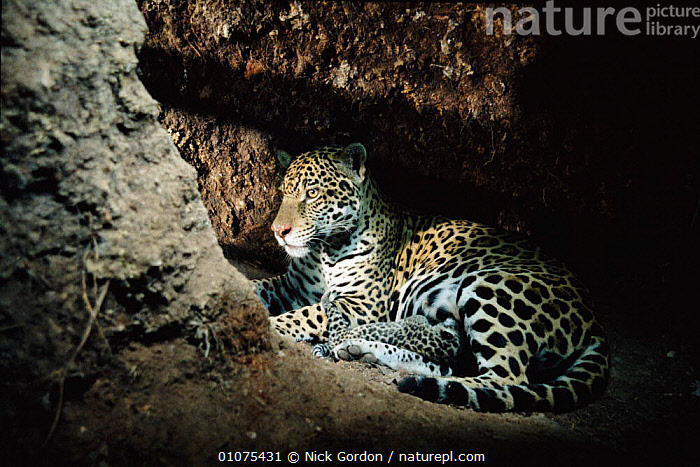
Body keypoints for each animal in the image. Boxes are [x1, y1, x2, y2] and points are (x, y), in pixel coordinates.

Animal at [253, 143, 609, 413]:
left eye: (312, 193)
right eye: (283, 193)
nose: (278, 231)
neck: (324, 250)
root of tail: (595, 318)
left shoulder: (363, 304)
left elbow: (306, 314)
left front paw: (272, 325)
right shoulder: (290, 288)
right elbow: (260, 289)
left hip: (489, 287)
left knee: (505, 379)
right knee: (453, 354)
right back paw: (365, 352)